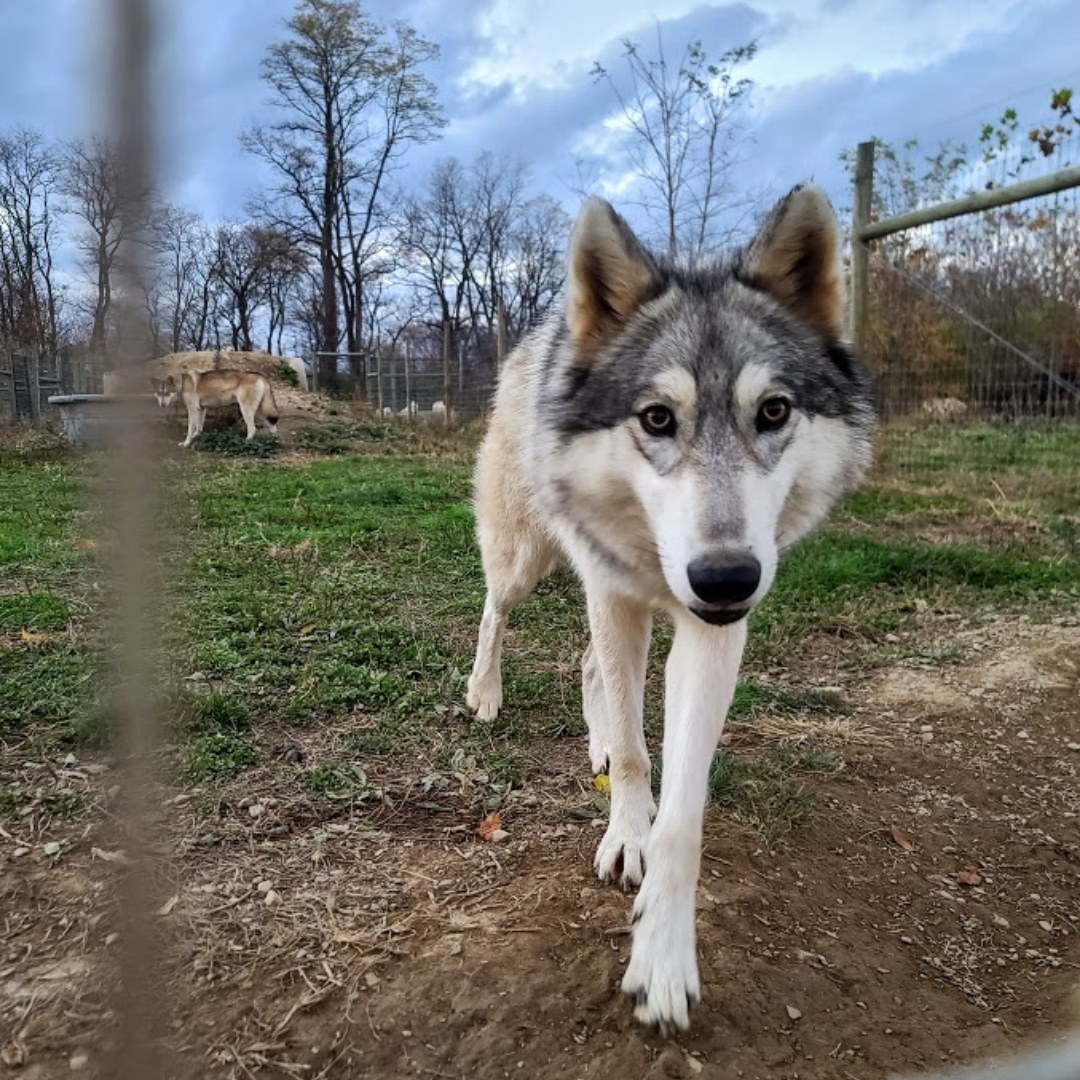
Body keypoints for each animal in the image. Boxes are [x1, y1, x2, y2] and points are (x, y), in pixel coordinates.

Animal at [465, 185, 875, 1032]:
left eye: (773, 411)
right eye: (657, 418)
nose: (724, 577)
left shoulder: (711, 632)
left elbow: (683, 808)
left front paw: (661, 956)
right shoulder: (617, 595)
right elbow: (634, 752)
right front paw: (628, 838)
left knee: (588, 666)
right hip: (528, 559)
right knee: (495, 610)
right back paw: (483, 694)